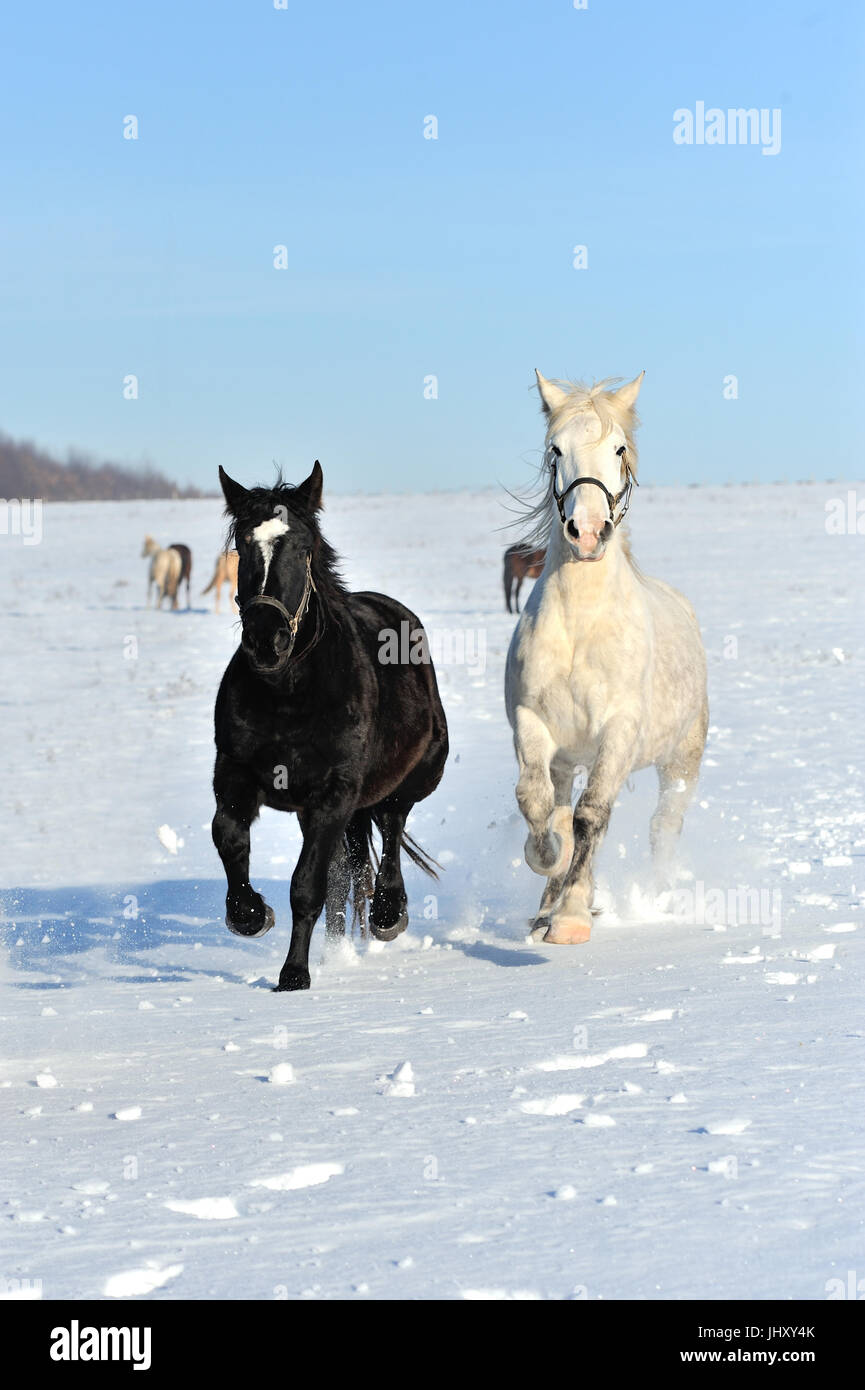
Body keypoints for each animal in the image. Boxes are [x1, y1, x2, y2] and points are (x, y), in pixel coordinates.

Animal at [211, 461, 449, 992]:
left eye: (303, 547)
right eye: (242, 545)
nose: (265, 639)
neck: (289, 694)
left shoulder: (334, 794)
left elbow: (307, 885)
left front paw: (293, 975)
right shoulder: (236, 773)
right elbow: (229, 836)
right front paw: (250, 914)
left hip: (408, 778)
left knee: (391, 826)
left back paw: (387, 916)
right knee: (349, 870)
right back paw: (340, 949)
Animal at [505, 371, 708, 946]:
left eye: (619, 448)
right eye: (555, 449)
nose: (589, 531)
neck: (582, 626)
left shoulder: (619, 730)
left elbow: (592, 815)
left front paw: (572, 916)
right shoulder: (533, 724)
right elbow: (537, 802)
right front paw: (549, 866)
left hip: (681, 760)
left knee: (663, 826)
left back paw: (658, 896)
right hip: (569, 756)